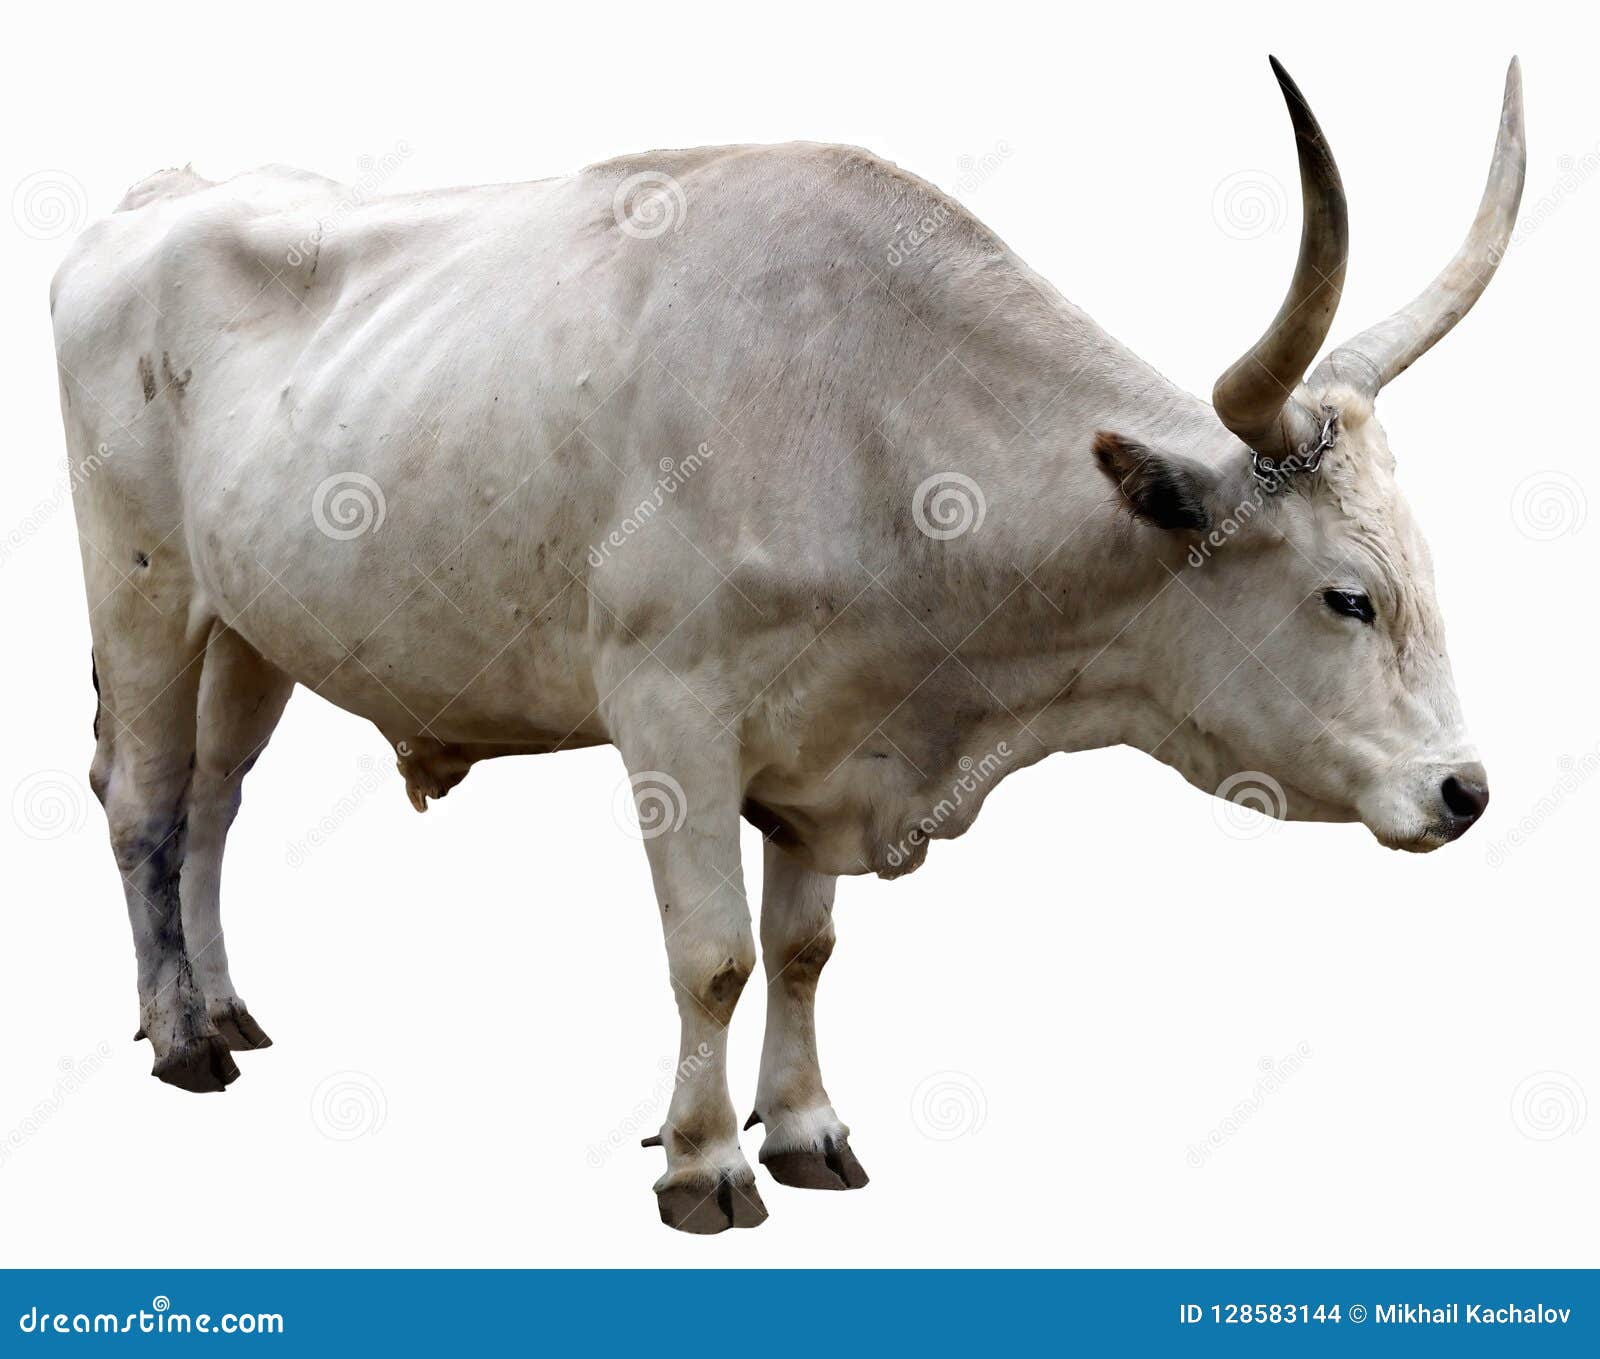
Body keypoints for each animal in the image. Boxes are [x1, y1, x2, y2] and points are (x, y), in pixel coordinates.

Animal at [51, 57, 1524, 1233]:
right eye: (1347, 596)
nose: (1464, 790)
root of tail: (159, 198)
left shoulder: (830, 738)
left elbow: (805, 945)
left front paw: (807, 1127)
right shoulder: (671, 714)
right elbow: (713, 952)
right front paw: (702, 1162)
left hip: (249, 624)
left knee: (213, 802)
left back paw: (224, 1005)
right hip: (142, 585)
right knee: (145, 802)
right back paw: (181, 1040)